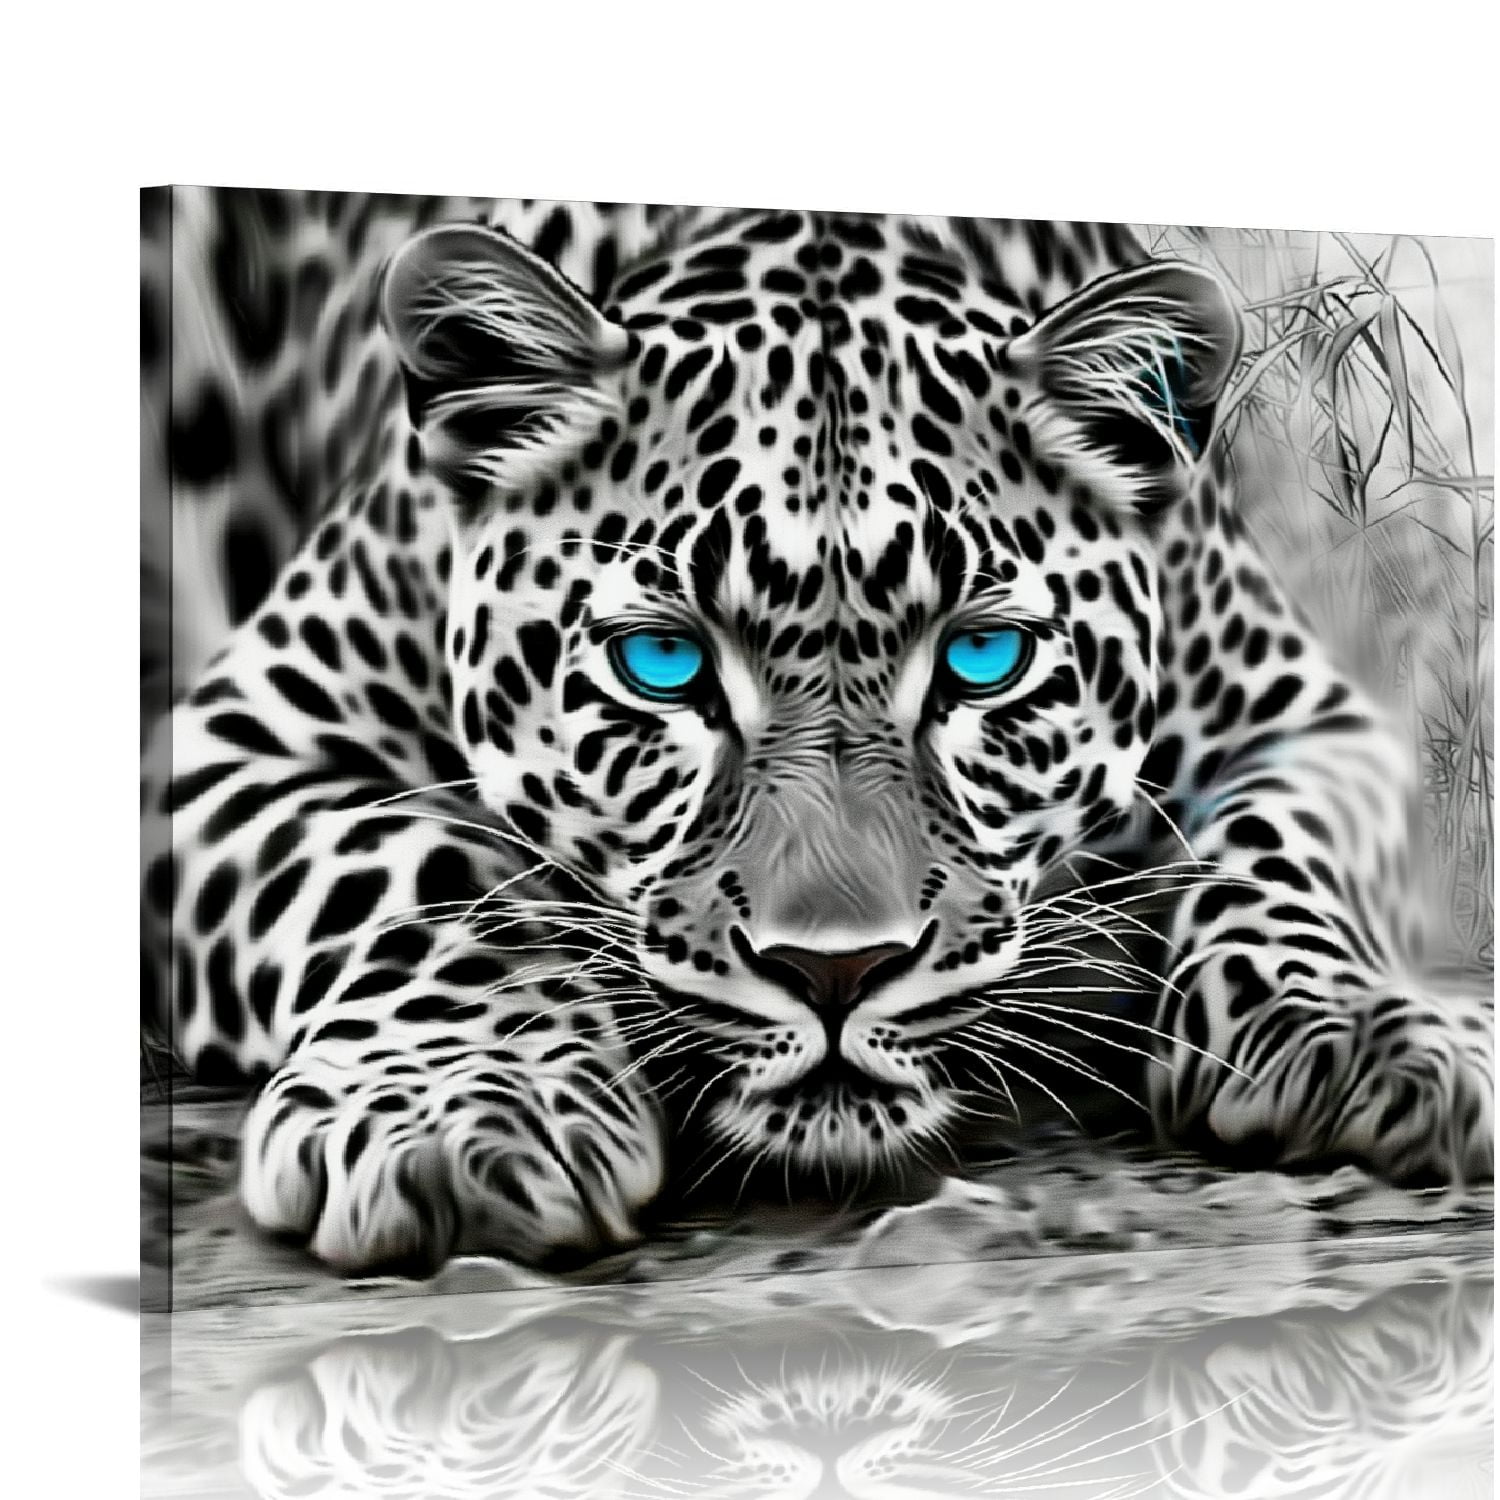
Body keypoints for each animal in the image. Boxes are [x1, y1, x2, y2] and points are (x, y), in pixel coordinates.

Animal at [140, 188, 1493, 1275]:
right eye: (663, 662)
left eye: (984, 659)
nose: (835, 971)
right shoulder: (228, 744)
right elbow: (422, 873)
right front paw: (456, 1112)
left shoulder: (1306, 718)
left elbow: (1281, 852)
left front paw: (1364, 1033)